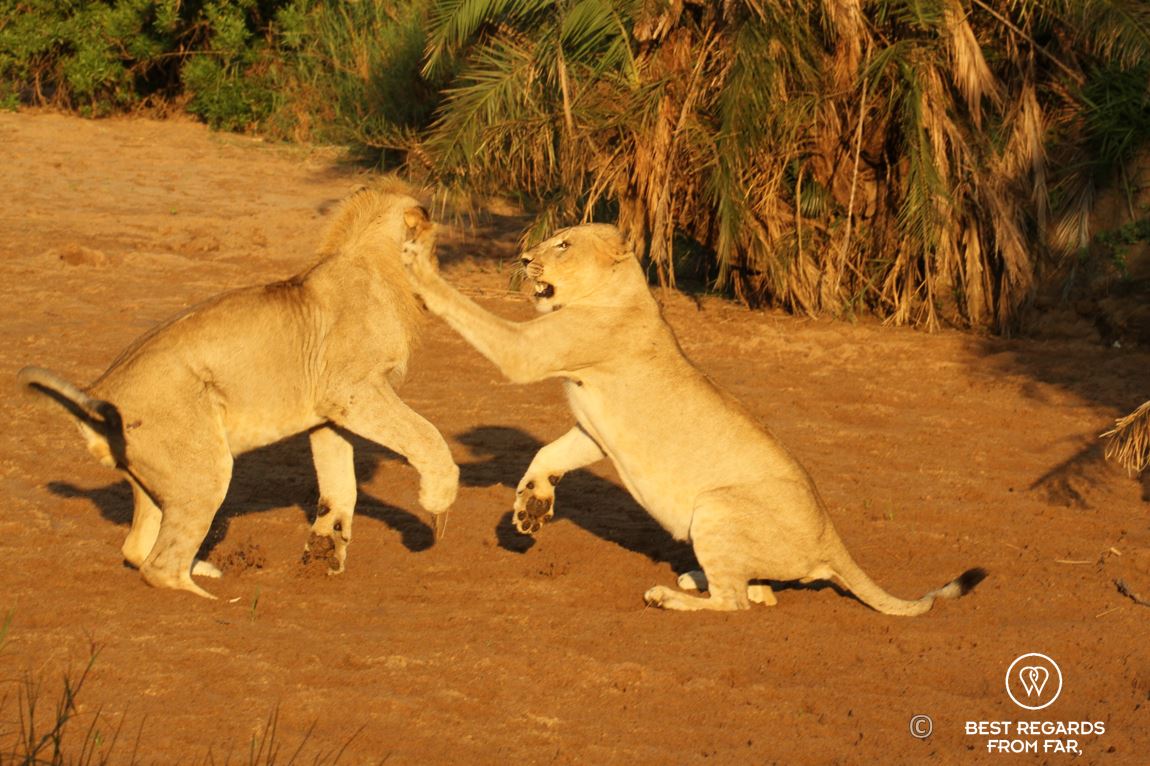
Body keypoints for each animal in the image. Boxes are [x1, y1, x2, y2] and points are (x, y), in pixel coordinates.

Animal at [19, 187, 459, 598]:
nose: (441, 271)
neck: (379, 263)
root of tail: (96, 391)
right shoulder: (353, 391)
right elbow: (426, 434)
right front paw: (437, 500)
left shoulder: (330, 413)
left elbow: (340, 486)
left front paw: (325, 554)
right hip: (203, 471)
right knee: (160, 566)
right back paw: (216, 599)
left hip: (156, 481)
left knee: (137, 549)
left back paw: (206, 571)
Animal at [400, 219, 985, 614]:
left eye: (563, 244)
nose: (523, 259)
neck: (622, 291)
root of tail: (829, 537)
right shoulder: (593, 426)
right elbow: (548, 452)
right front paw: (532, 510)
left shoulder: (527, 352)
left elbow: (466, 308)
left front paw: (418, 265)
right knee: (759, 594)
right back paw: (697, 580)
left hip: (716, 508)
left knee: (735, 604)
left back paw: (671, 594)